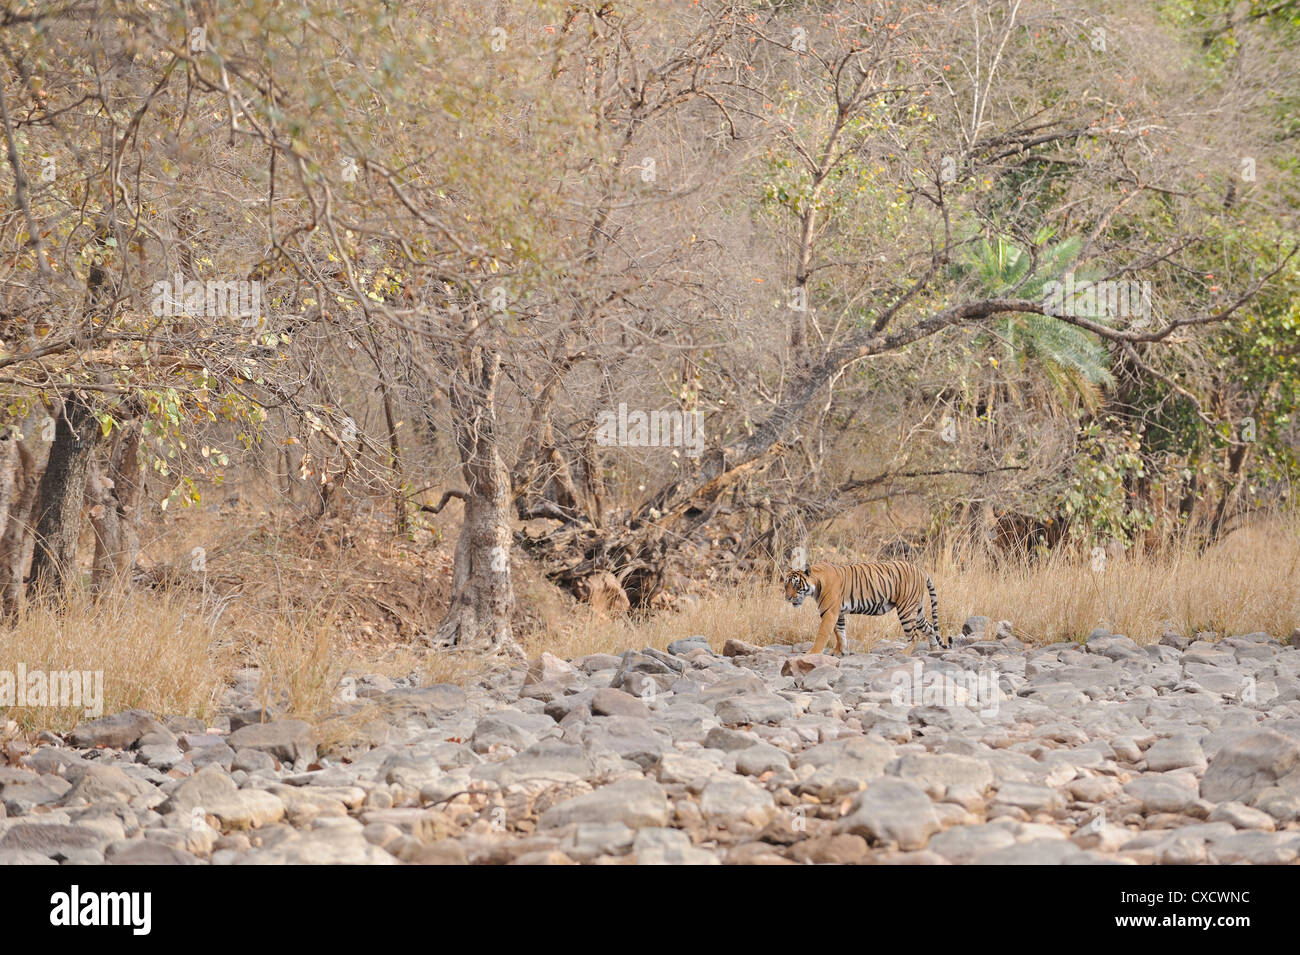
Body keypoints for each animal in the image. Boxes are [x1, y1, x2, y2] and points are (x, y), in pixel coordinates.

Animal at [783, 560, 948, 655]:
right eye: (786, 585)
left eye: (796, 585)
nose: (787, 598)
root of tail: (921, 570)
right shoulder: (839, 613)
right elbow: (840, 633)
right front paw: (840, 651)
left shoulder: (829, 612)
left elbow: (823, 634)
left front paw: (813, 653)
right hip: (916, 609)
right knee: (930, 628)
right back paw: (934, 651)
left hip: (906, 610)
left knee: (914, 636)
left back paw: (903, 654)